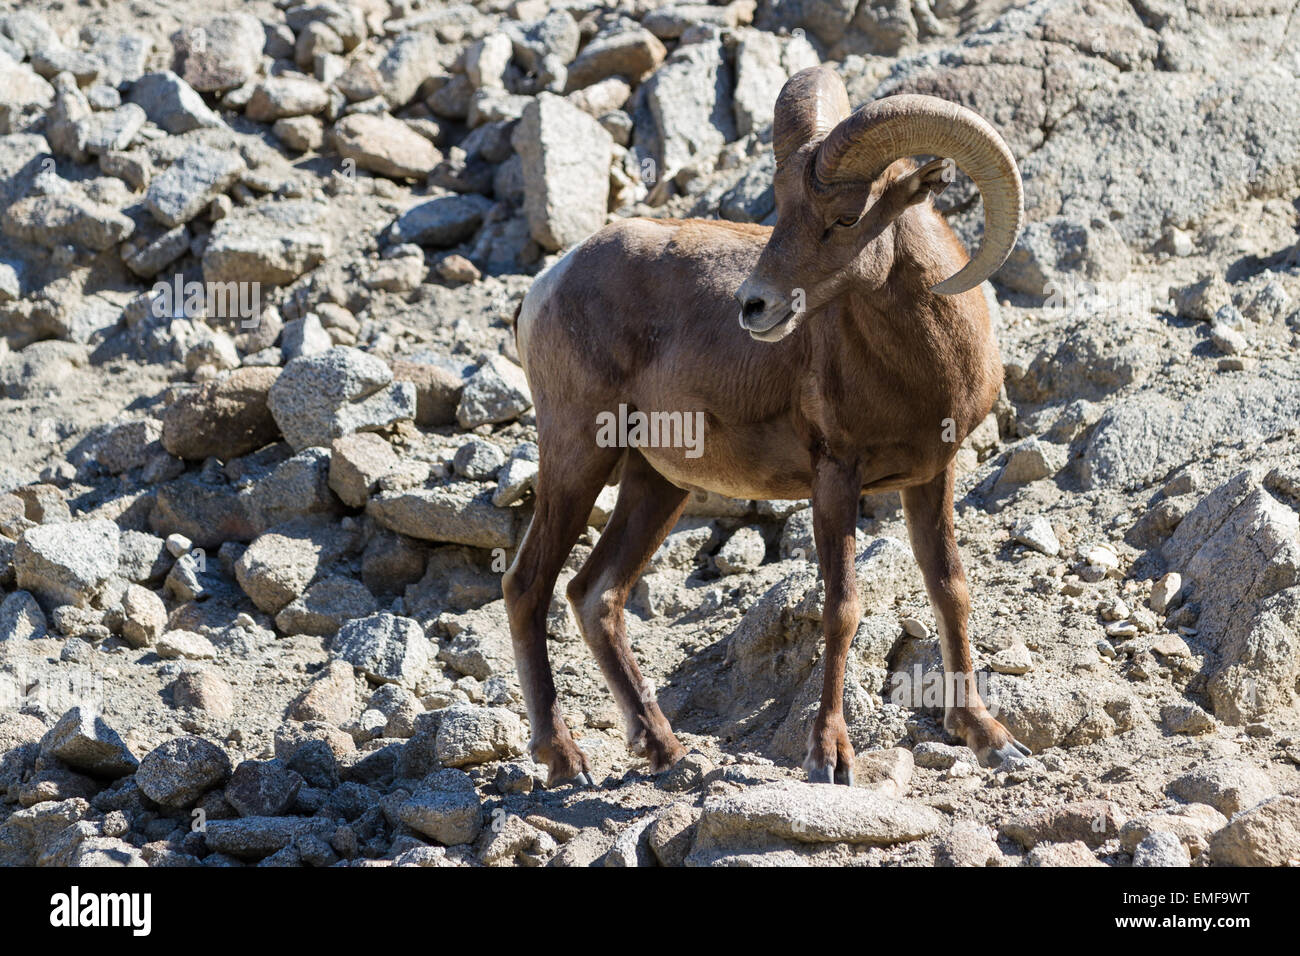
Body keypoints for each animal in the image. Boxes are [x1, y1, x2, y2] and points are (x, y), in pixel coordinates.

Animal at [503, 65, 1029, 786]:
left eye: (845, 218)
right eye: (782, 211)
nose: (754, 307)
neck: (922, 367)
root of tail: (548, 284)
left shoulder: (931, 477)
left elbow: (950, 590)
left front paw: (989, 739)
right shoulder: (835, 477)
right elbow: (842, 608)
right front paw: (829, 758)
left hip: (654, 482)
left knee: (595, 595)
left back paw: (664, 748)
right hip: (577, 454)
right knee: (528, 586)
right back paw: (565, 760)